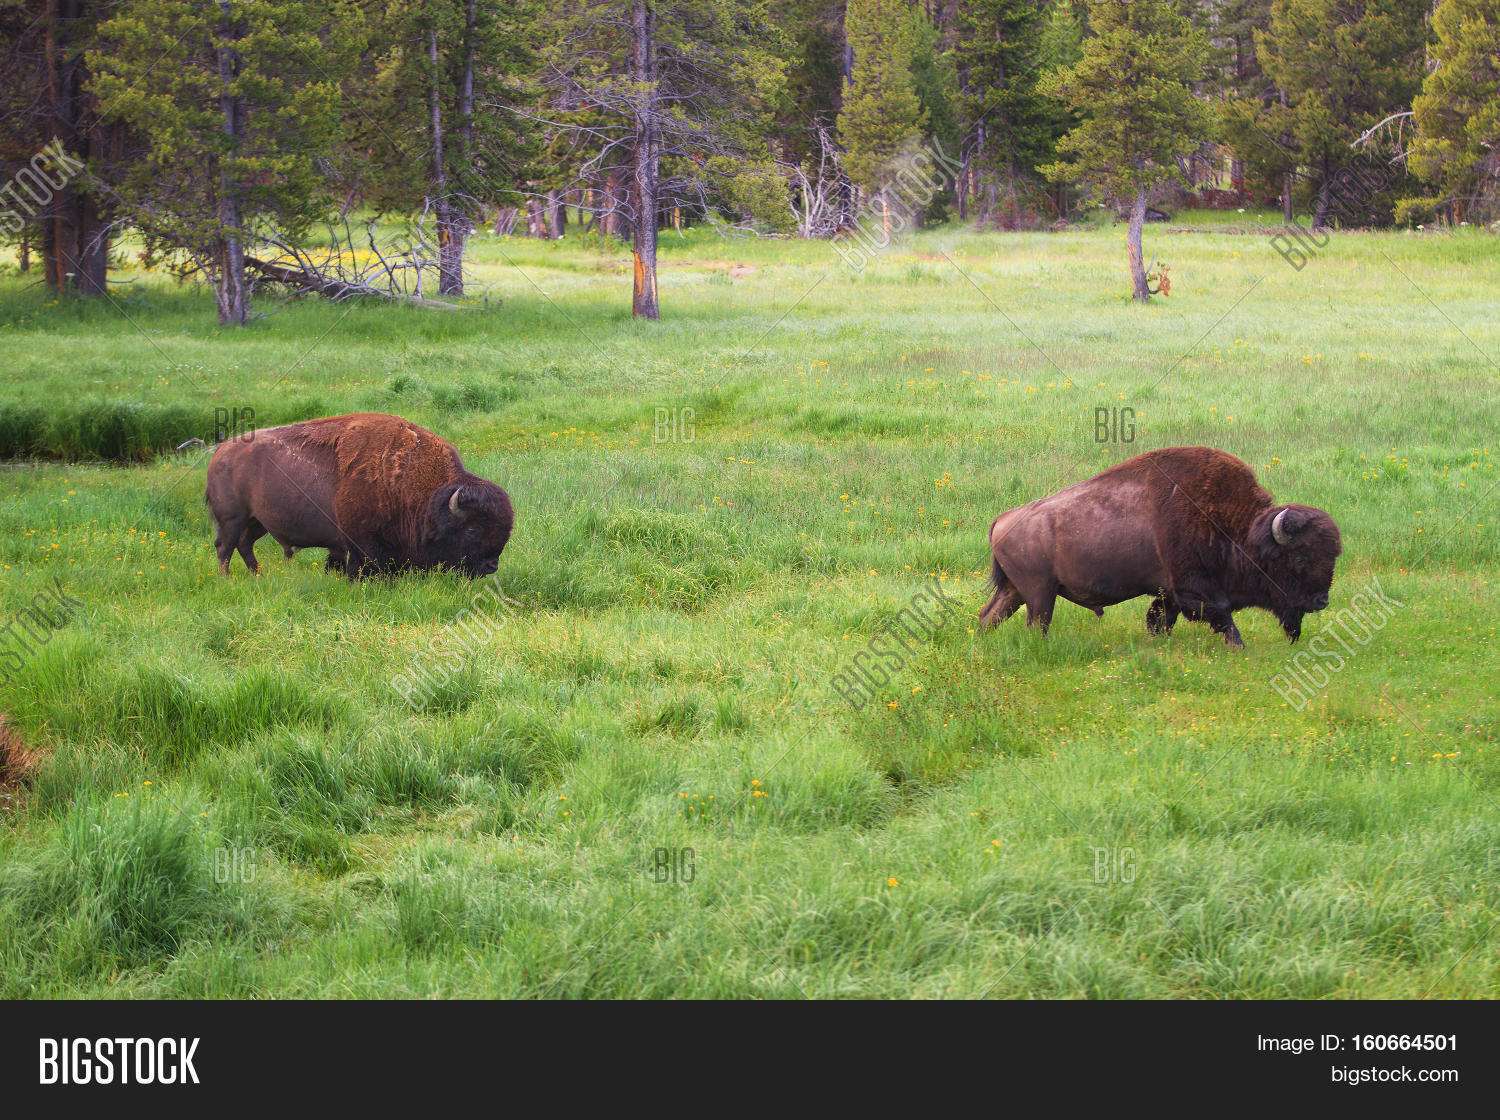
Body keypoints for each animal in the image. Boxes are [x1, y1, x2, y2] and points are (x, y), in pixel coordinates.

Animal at [205, 413, 513, 579]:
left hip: (258, 521)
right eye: (472, 530)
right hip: (233, 519)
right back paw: (227, 579)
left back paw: (257, 576)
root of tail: (221, 451)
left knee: (244, 544)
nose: (491, 566)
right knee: (225, 547)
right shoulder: (362, 543)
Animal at [977, 446, 1341, 648]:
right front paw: (1239, 647)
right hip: (1040, 593)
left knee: (989, 616)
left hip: (1016, 591)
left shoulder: (1170, 595)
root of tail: (1002, 519)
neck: (1239, 530)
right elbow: (1221, 613)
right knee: (1036, 623)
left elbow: (1159, 619)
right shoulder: (1194, 588)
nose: (1321, 601)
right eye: (1300, 559)